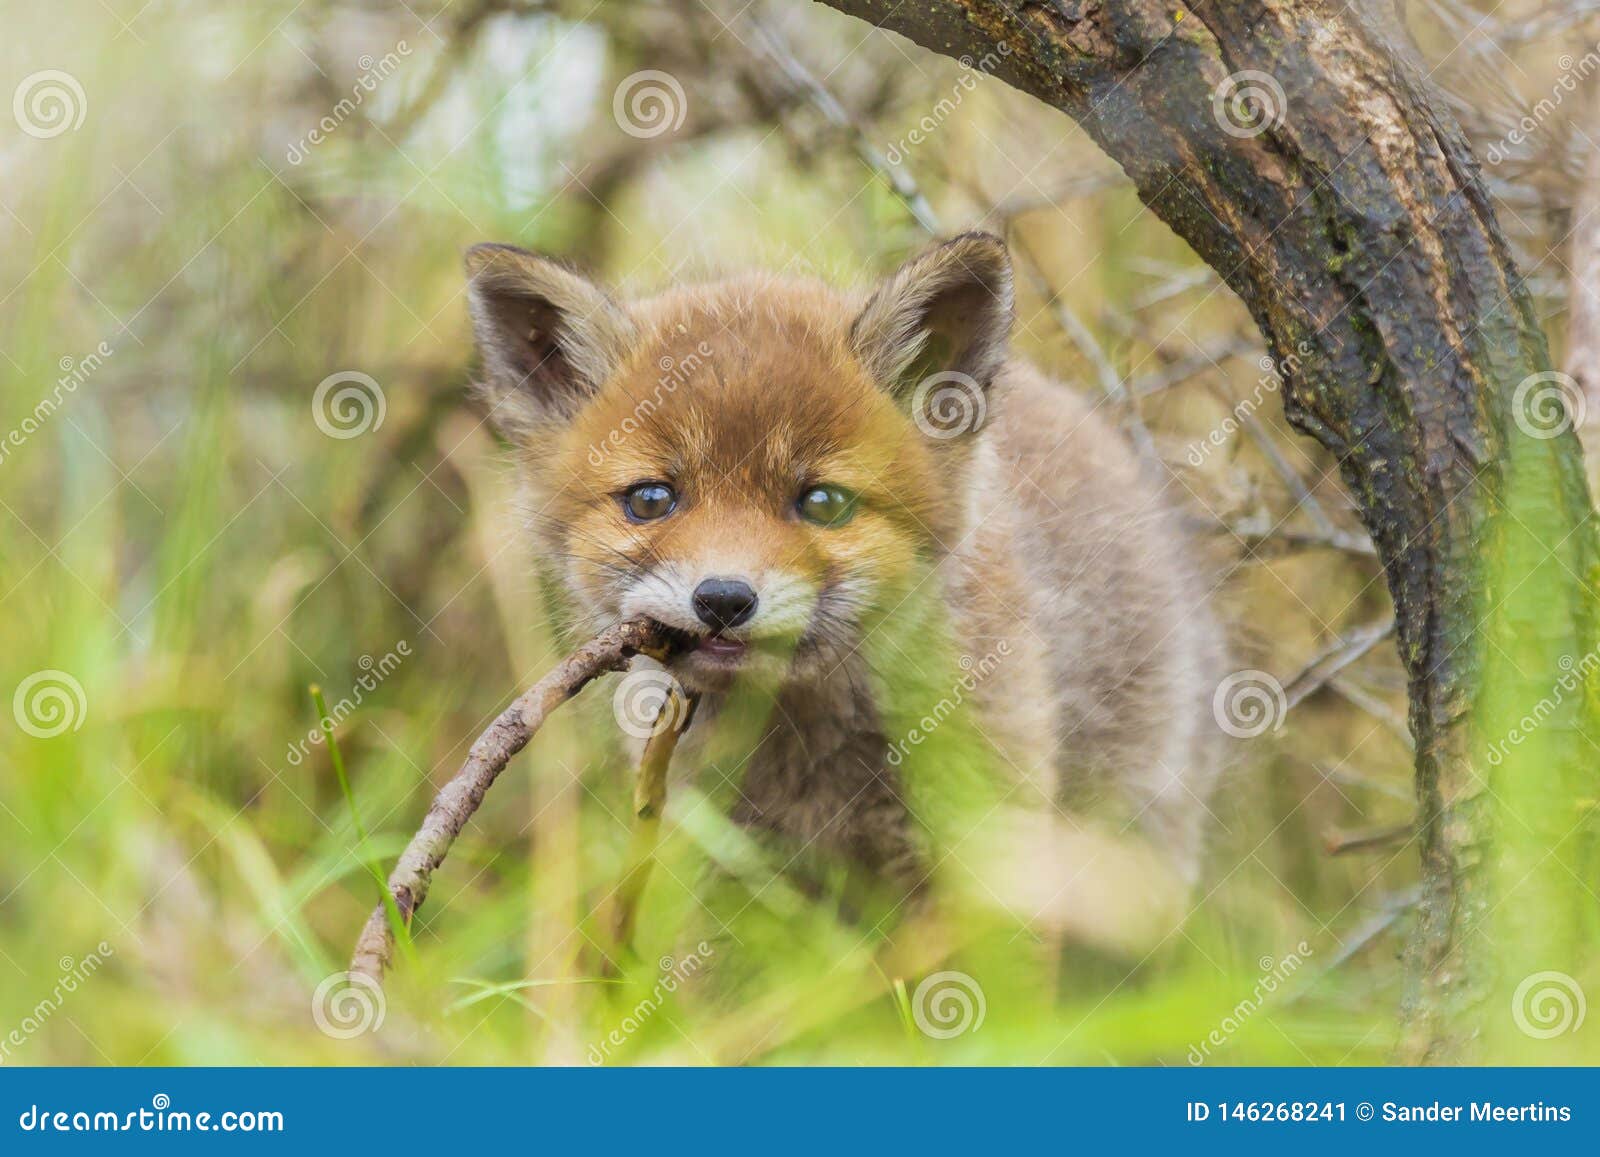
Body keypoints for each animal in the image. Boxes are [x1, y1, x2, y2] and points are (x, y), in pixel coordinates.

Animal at [463, 232, 1227, 957]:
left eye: (823, 503)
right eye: (652, 499)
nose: (723, 599)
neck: (805, 745)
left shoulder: (989, 848)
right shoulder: (723, 866)